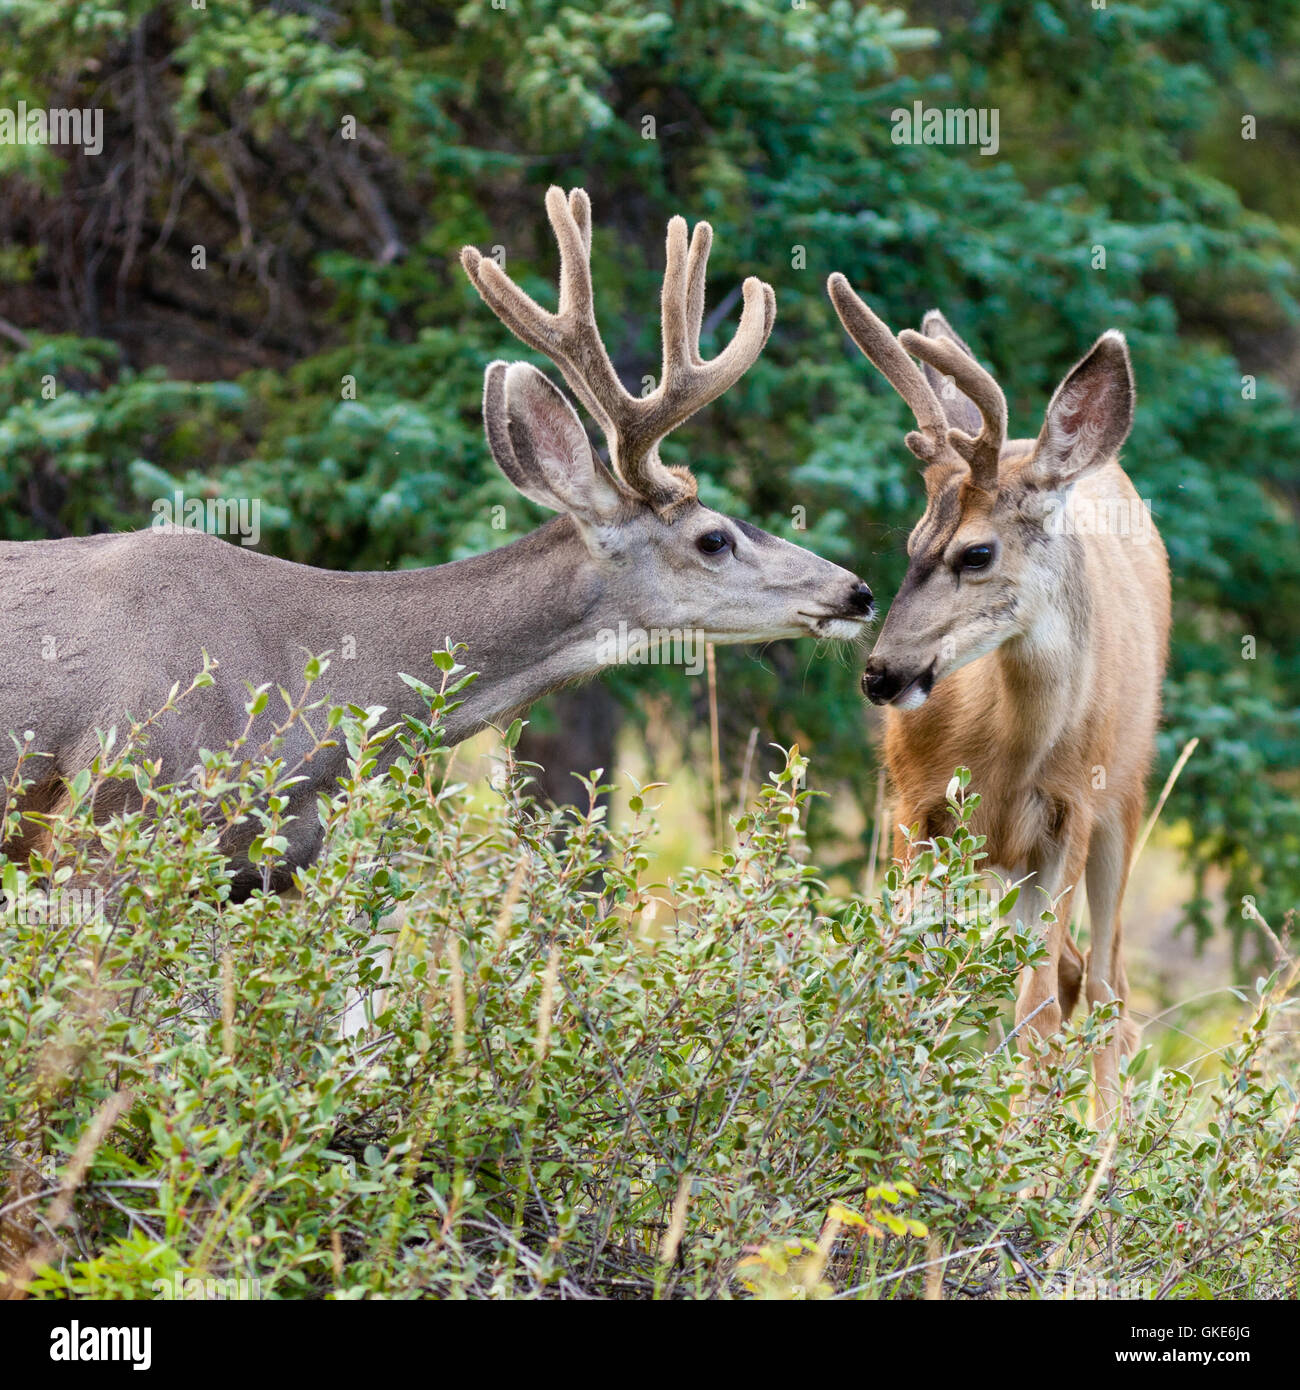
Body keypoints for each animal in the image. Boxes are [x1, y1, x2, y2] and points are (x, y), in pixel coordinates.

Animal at [827, 271, 1170, 1122]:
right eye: (911, 544)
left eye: (976, 553)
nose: (880, 674)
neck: (1011, 753)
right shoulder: (914, 805)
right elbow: (906, 979)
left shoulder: (1070, 815)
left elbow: (1037, 1012)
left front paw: (1025, 1150)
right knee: (1082, 979)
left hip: (1125, 803)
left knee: (1109, 996)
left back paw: (1100, 1144)